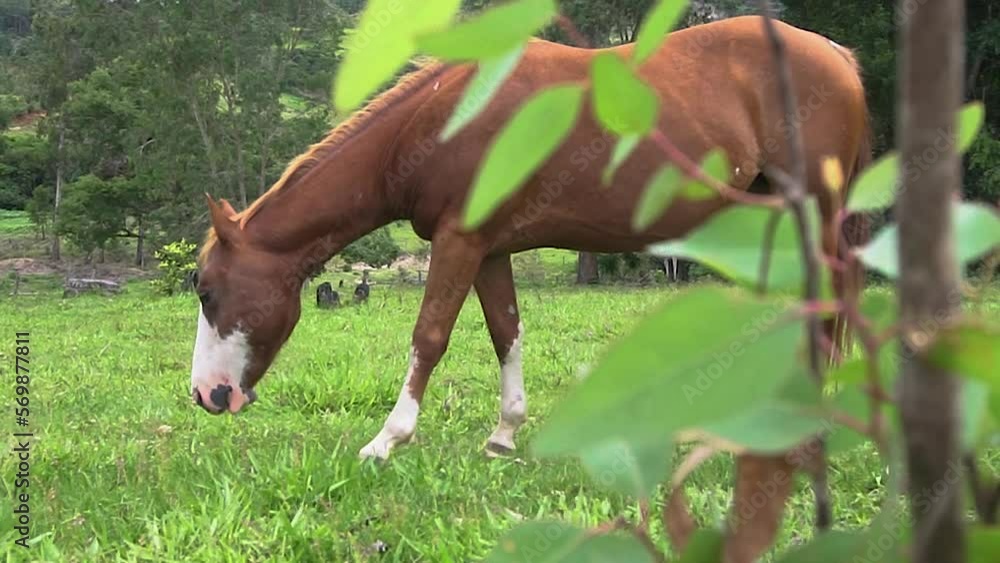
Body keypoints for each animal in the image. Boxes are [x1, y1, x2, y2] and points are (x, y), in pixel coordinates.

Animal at [190, 16, 871, 462]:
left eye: (206, 290)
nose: (206, 395)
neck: (442, 117)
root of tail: (838, 55)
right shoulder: (489, 249)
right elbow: (505, 332)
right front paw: (504, 434)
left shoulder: (459, 242)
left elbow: (429, 336)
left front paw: (387, 440)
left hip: (816, 210)